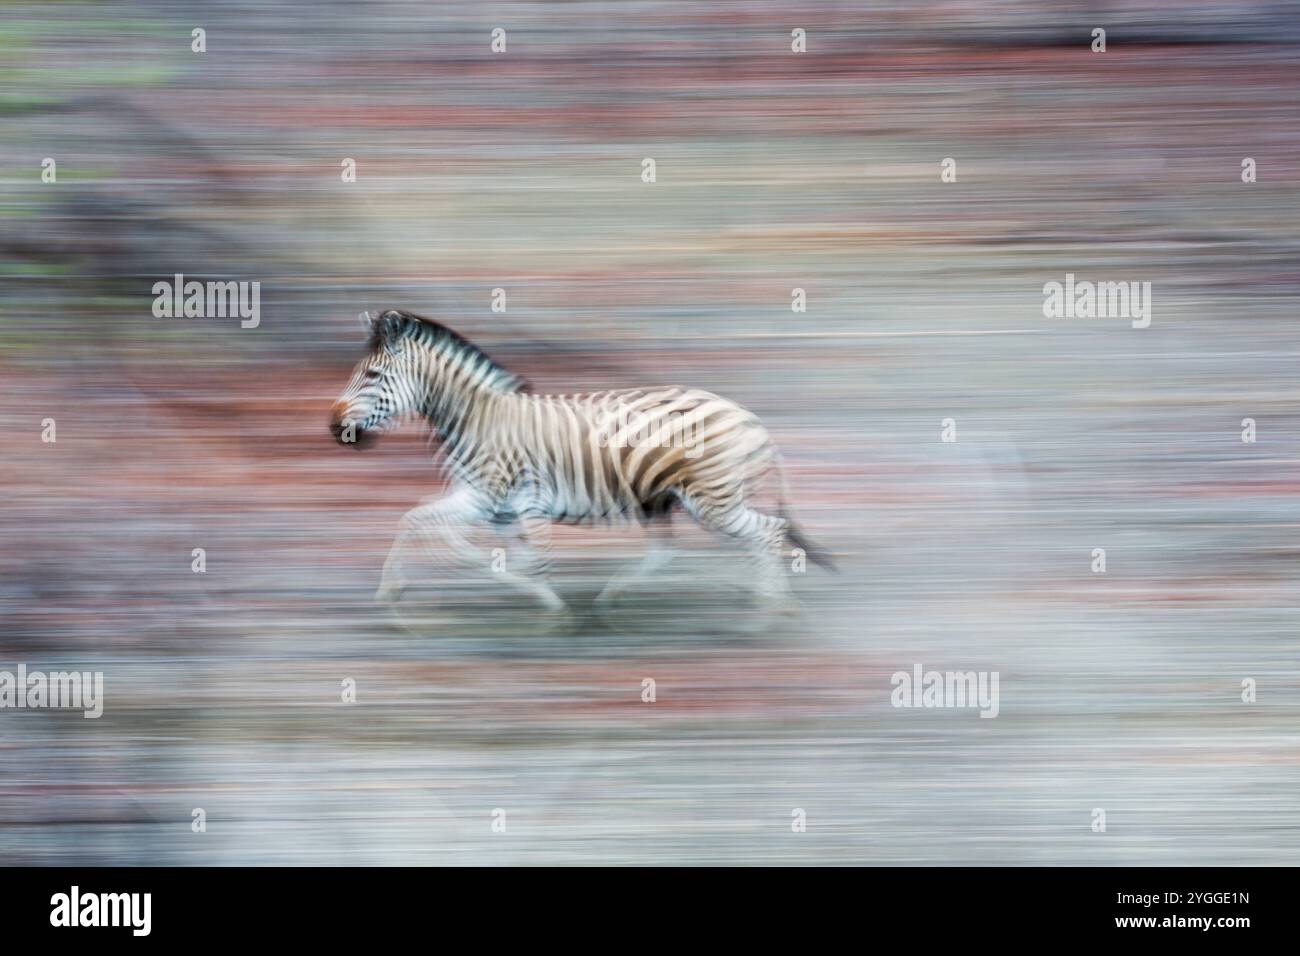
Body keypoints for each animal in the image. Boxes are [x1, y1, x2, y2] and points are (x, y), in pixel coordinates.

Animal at [329, 309, 833, 615]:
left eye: (372, 375)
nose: (334, 428)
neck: (479, 418)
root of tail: (746, 414)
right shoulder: (493, 506)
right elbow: (418, 523)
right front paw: (392, 592)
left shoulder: (499, 498)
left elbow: (509, 554)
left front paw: (547, 609)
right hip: (668, 498)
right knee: (673, 550)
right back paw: (617, 594)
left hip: (710, 500)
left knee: (768, 531)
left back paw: (768, 611)